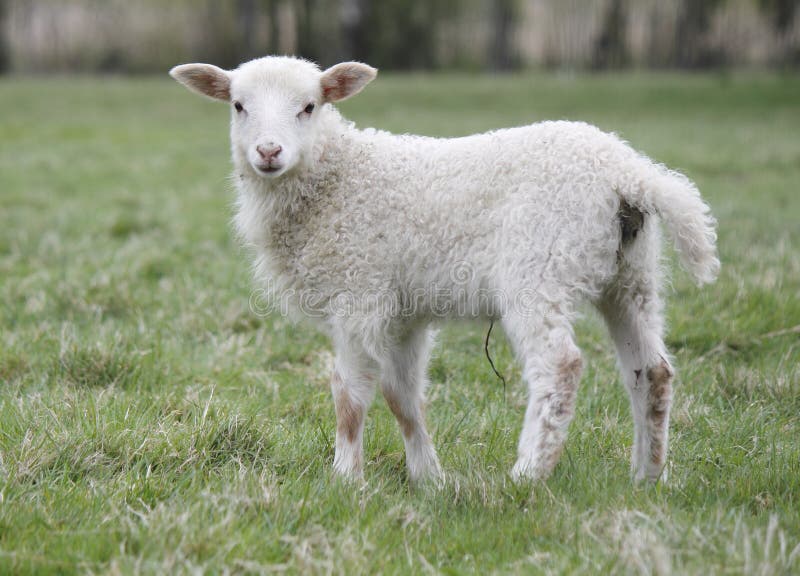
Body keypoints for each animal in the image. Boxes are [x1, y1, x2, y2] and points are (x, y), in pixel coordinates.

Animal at [169, 56, 719, 484]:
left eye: (309, 107)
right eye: (238, 106)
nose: (268, 152)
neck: (336, 179)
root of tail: (629, 173)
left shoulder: (358, 292)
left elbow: (349, 395)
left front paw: (346, 478)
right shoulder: (403, 314)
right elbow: (402, 397)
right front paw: (428, 478)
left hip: (540, 268)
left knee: (560, 366)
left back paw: (528, 473)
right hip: (631, 275)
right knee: (652, 371)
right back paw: (647, 475)